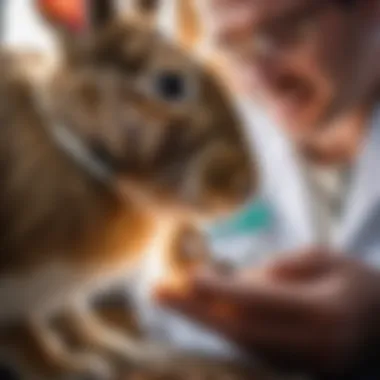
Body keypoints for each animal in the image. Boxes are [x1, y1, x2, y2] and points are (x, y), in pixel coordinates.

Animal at [0, 0, 258, 378]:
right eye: (170, 84)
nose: (244, 185)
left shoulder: (63, 289)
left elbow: (74, 315)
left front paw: (113, 349)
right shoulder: (17, 288)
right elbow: (26, 332)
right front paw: (70, 369)